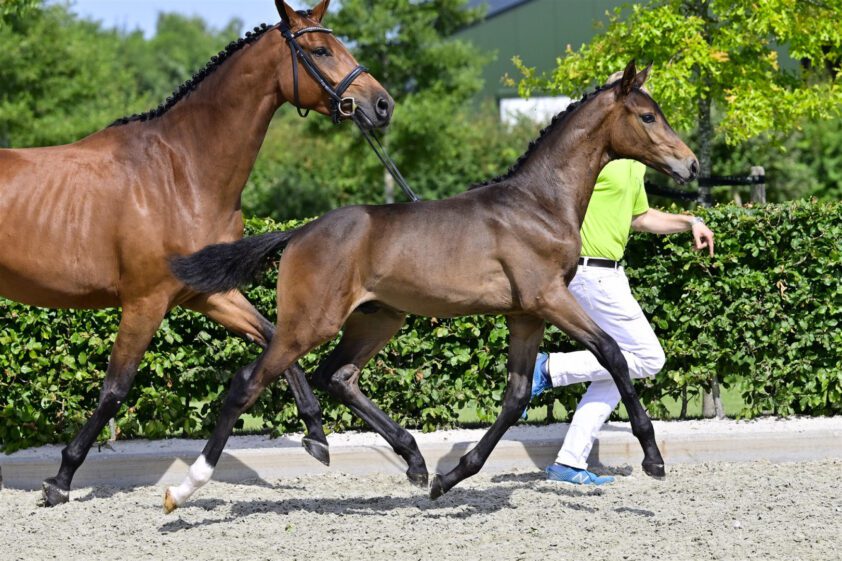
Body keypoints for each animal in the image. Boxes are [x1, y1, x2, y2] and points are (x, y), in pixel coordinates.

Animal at [0, 0, 392, 507]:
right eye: (321, 50)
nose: (382, 105)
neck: (181, 171)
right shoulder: (145, 302)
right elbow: (115, 390)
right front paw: (60, 479)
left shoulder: (204, 292)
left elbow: (271, 335)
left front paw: (315, 434)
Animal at [164, 60, 699, 512]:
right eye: (648, 116)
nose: (691, 165)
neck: (538, 205)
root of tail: (299, 232)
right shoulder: (550, 298)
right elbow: (612, 352)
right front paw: (653, 457)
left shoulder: (524, 315)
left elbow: (516, 396)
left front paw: (450, 478)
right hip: (310, 323)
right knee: (248, 382)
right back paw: (183, 490)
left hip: (378, 318)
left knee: (337, 376)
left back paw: (416, 462)